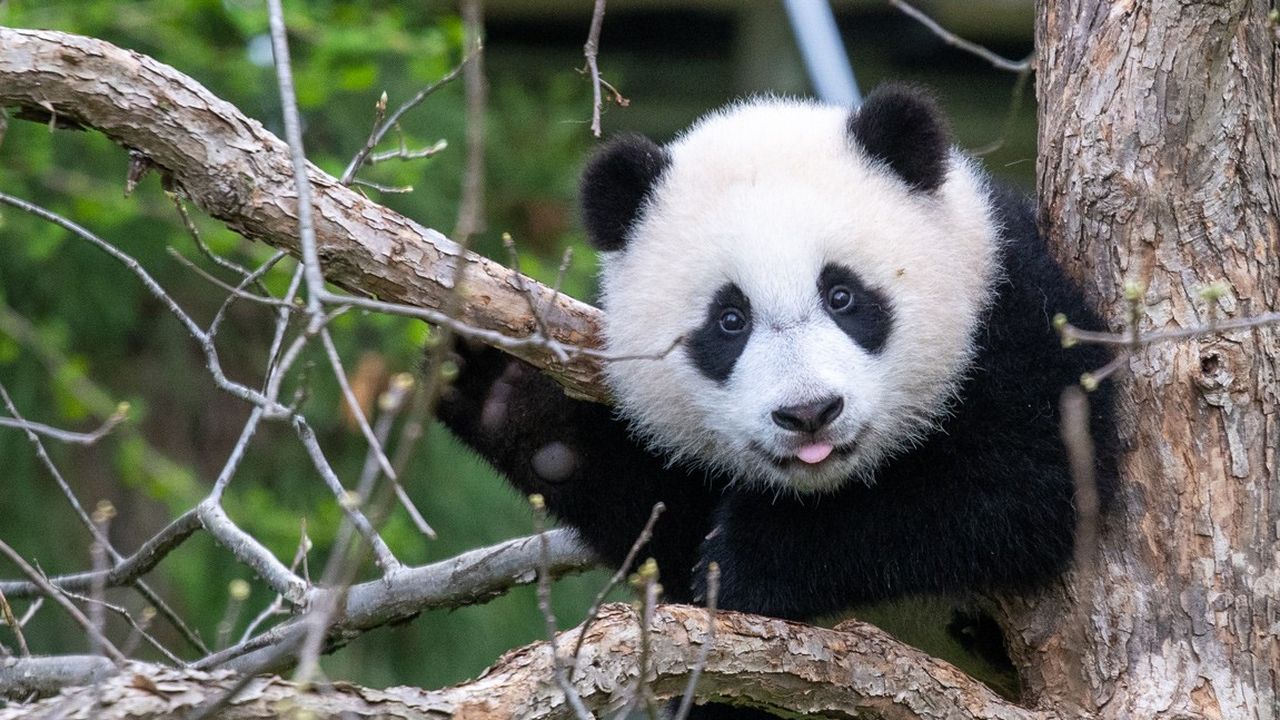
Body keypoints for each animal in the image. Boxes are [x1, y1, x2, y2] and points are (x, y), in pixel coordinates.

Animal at [437, 84, 1116, 622]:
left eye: (842, 295)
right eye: (730, 321)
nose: (810, 413)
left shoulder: (1011, 306)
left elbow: (1024, 482)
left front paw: (754, 557)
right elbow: (658, 528)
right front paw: (500, 385)